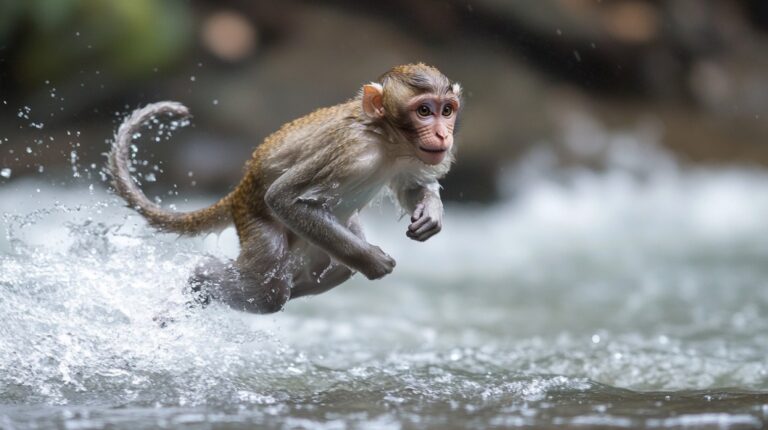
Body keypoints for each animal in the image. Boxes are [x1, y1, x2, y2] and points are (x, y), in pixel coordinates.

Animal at [108, 63, 462, 314]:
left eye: (446, 110)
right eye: (424, 110)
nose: (443, 135)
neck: (386, 139)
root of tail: (240, 190)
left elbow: (412, 184)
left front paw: (430, 213)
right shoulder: (349, 151)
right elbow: (283, 198)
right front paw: (374, 262)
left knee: (332, 269)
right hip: (255, 220)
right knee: (269, 293)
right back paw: (200, 280)